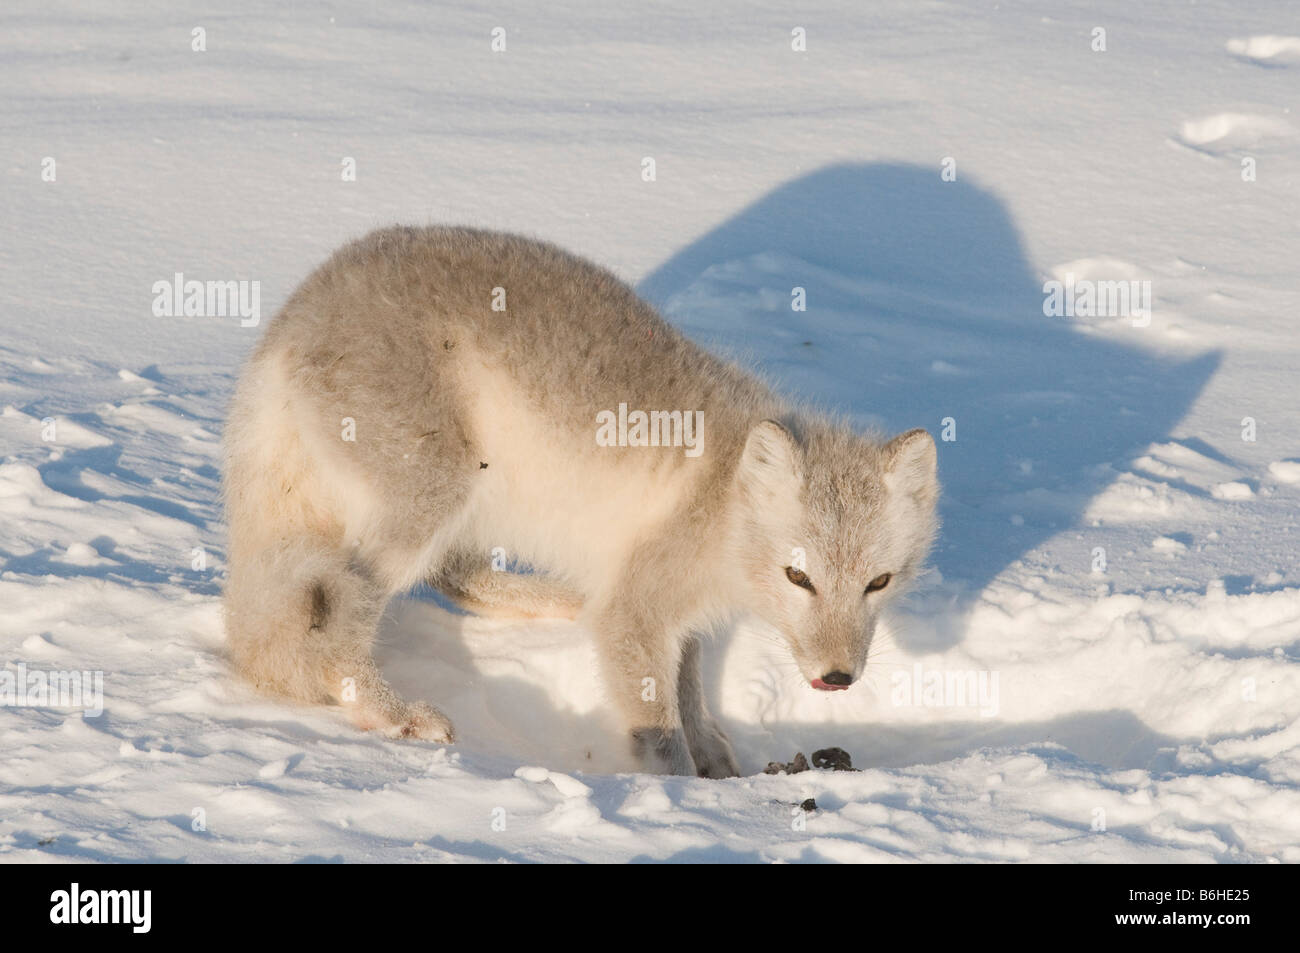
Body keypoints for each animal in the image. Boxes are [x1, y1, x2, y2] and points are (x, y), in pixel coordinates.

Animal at [222, 226, 940, 778]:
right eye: (799, 576)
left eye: (878, 582)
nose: (839, 677)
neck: (722, 497)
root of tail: (293, 318)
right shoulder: (639, 606)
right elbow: (656, 720)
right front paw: (682, 793)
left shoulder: (675, 610)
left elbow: (688, 683)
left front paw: (713, 757)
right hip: (433, 488)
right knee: (346, 607)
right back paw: (390, 711)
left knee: (454, 576)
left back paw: (565, 602)